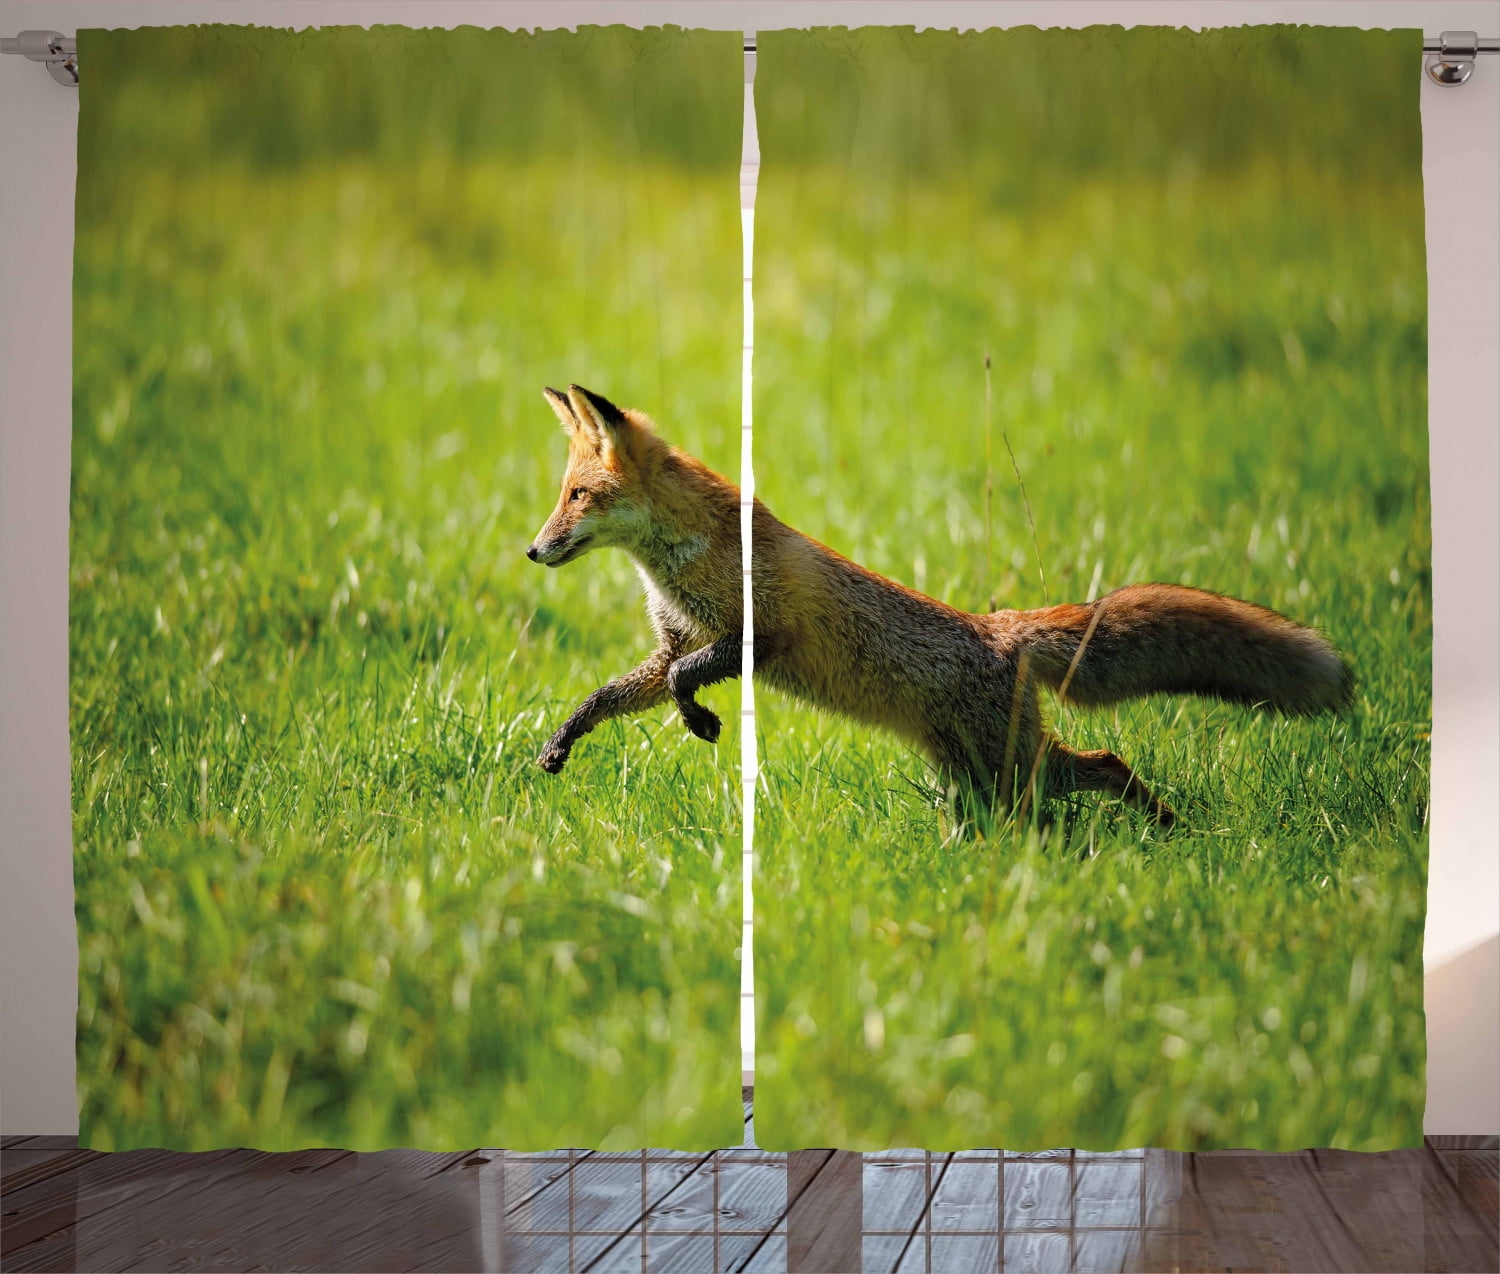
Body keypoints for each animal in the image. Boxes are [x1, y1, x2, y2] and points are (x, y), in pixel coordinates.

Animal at [527, 384, 1353, 827]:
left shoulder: (765, 632)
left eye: (577, 496)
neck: (675, 562)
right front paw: (562, 742)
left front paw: (698, 720)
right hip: (982, 768)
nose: (533, 551)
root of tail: (1002, 629)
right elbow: (610, 695)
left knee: (1104, 764)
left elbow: (684, 680)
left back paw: (1164, 827)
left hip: (1003, 766)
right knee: (1084, 775)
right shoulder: (674, 640)